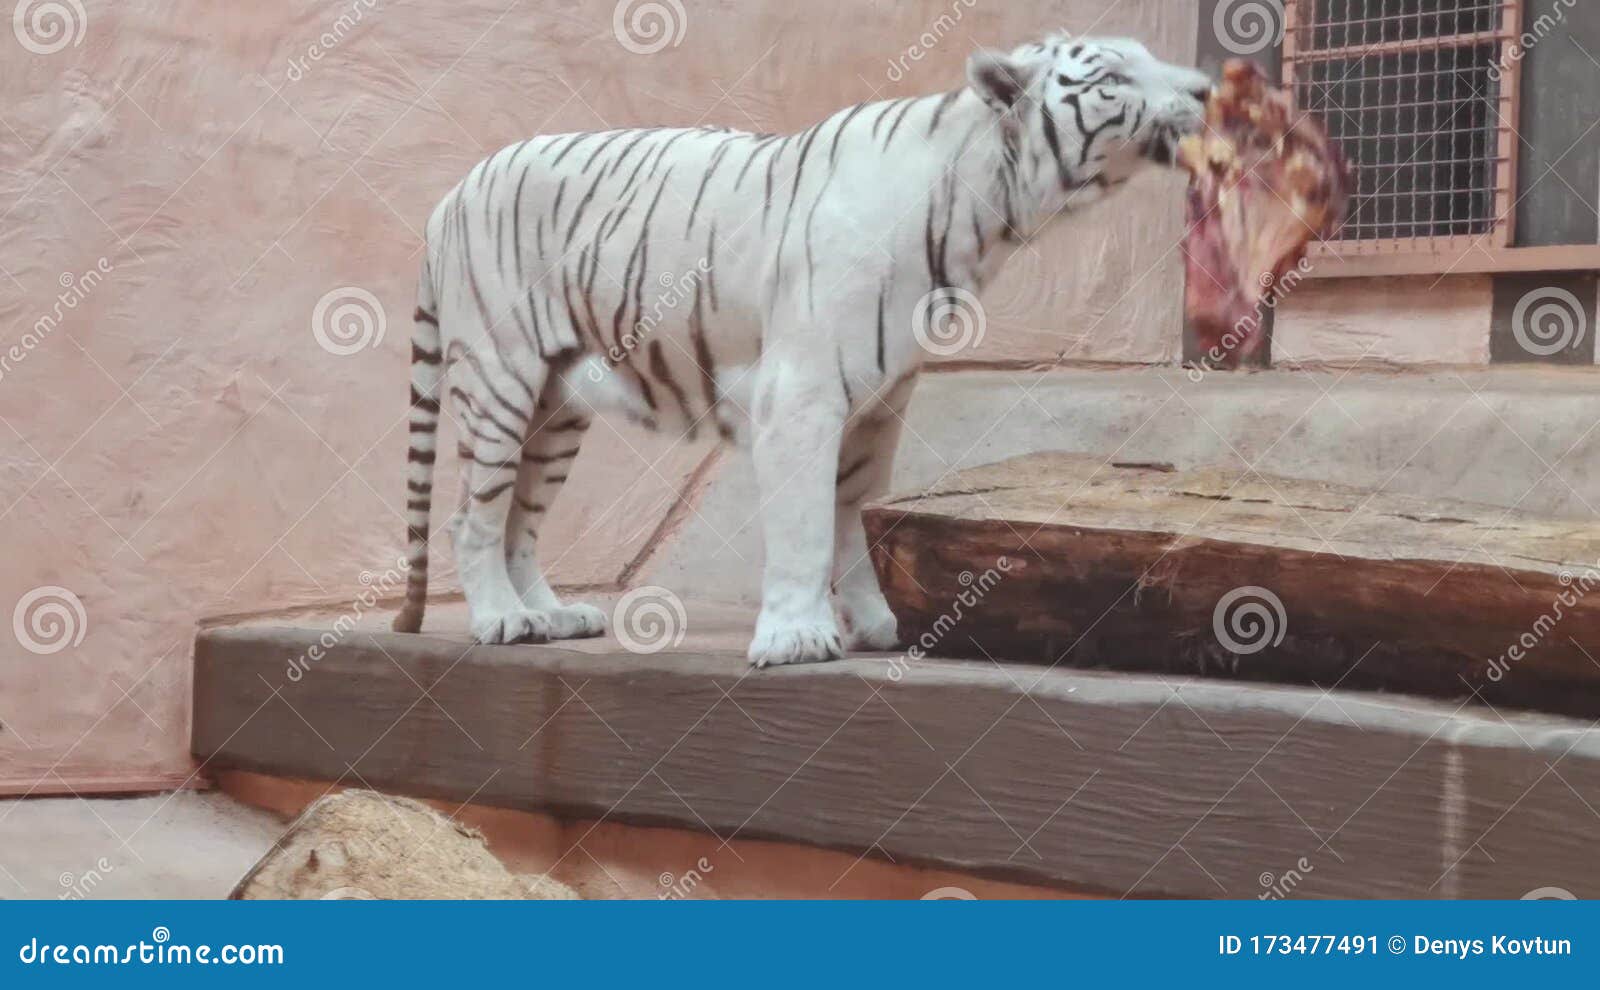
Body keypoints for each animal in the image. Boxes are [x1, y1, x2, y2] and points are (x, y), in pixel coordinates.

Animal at [392, 32, 1210, 667]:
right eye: (1112, 78)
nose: (1206, 87)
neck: (986, 208)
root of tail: (449, 195)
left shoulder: (879, 400)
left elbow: (851, 514)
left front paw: (872, 623)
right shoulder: (802, 392)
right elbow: (804, 524)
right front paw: (795, 638)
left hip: (558, 406)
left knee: (520, 521)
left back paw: (550, 616)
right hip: (501, 376)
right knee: (473, 515)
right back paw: (502, 620)